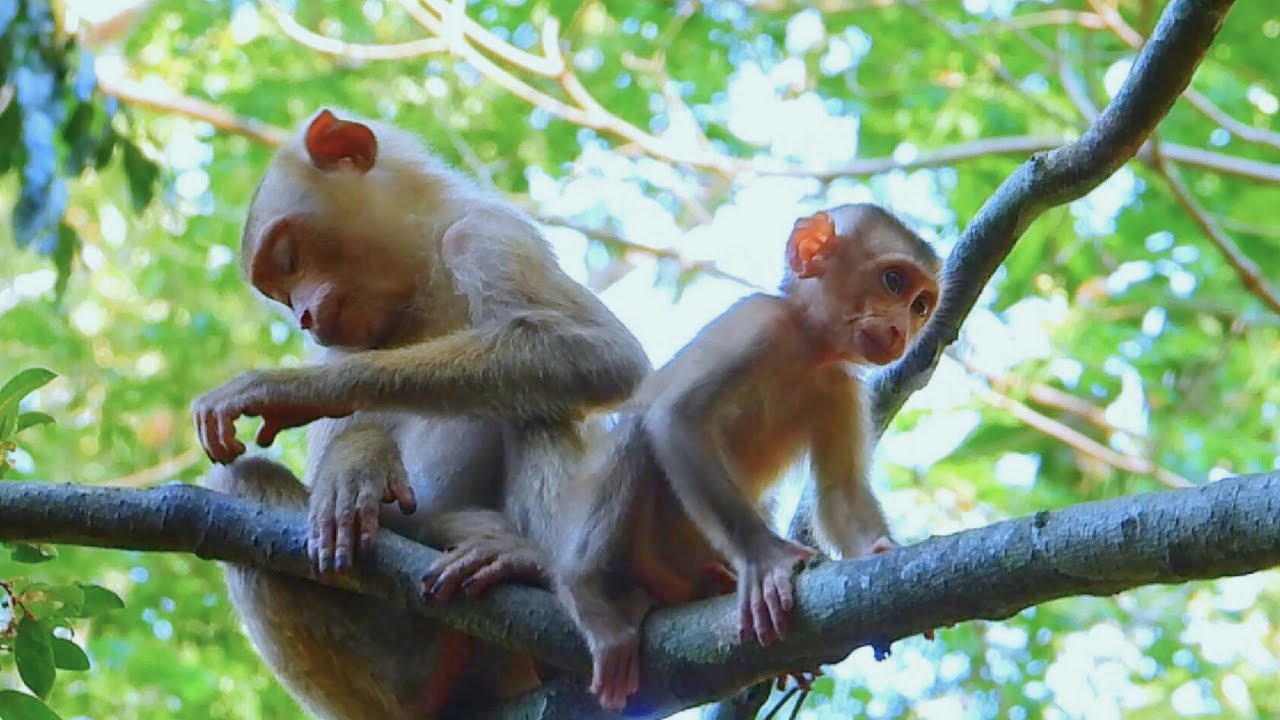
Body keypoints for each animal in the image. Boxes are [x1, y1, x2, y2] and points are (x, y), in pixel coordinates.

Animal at [193, 108, 650, 718]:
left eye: (289, 258)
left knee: (543, 407)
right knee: (239, 484)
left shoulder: (485, 237)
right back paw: (414, 683)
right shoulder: (347, 339)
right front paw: (357, 462)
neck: (421, 287)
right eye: (278, 290)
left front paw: (293, 390)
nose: (305, 317)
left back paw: (535, 571)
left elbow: (603, 356)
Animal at [554, 203, 941, 710]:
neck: (807, 347)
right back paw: (590, 593)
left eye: (920, 307)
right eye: (893, 281)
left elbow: (840, 494)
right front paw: (765, 557)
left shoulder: (840, 388)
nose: (901, 330)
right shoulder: (758, 325)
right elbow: (677, 418)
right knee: (637, 433)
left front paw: (881, 549)